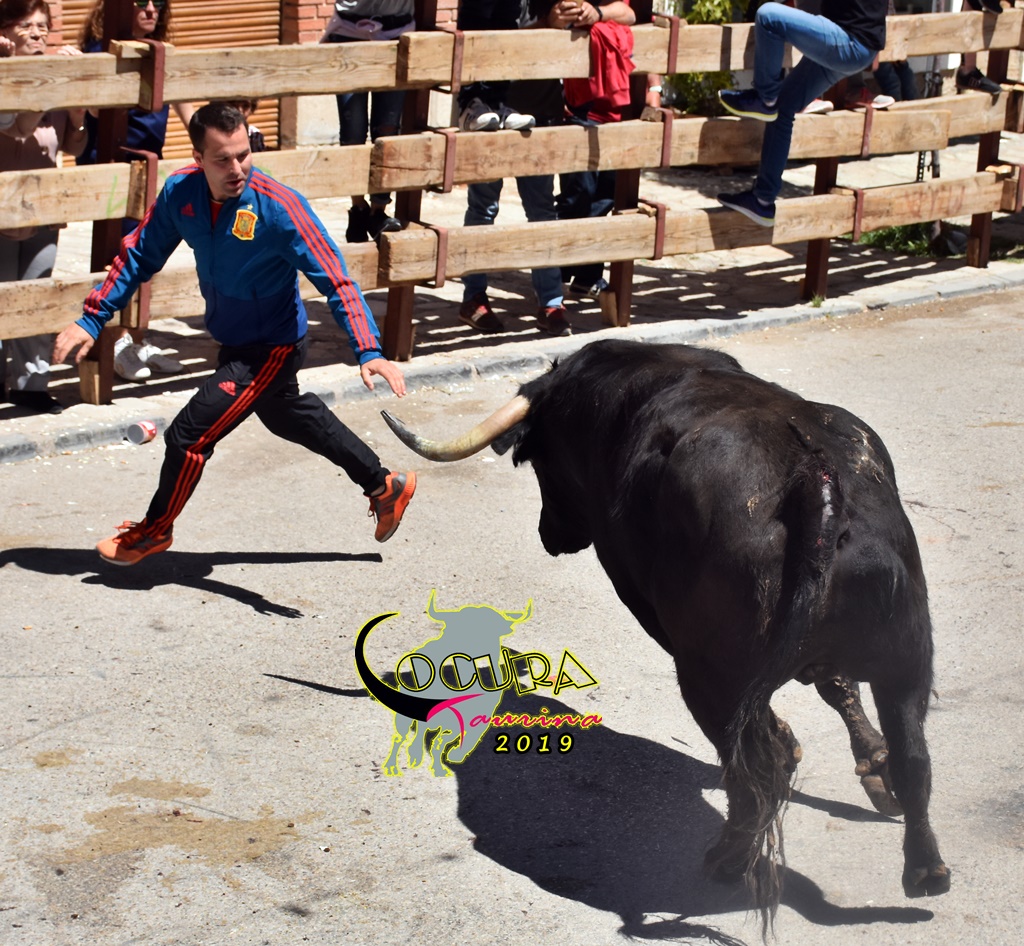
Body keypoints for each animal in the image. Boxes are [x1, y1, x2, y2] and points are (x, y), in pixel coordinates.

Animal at [380, 339, 949, 931]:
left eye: (542, 463)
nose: (548, 535)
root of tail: (813, 478)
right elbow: (838, 687)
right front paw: (870, 766)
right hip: (906, 659)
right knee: (912, 755)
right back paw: (923, 866)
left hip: (711, 675)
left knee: (760, 763)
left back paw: (729, 858)